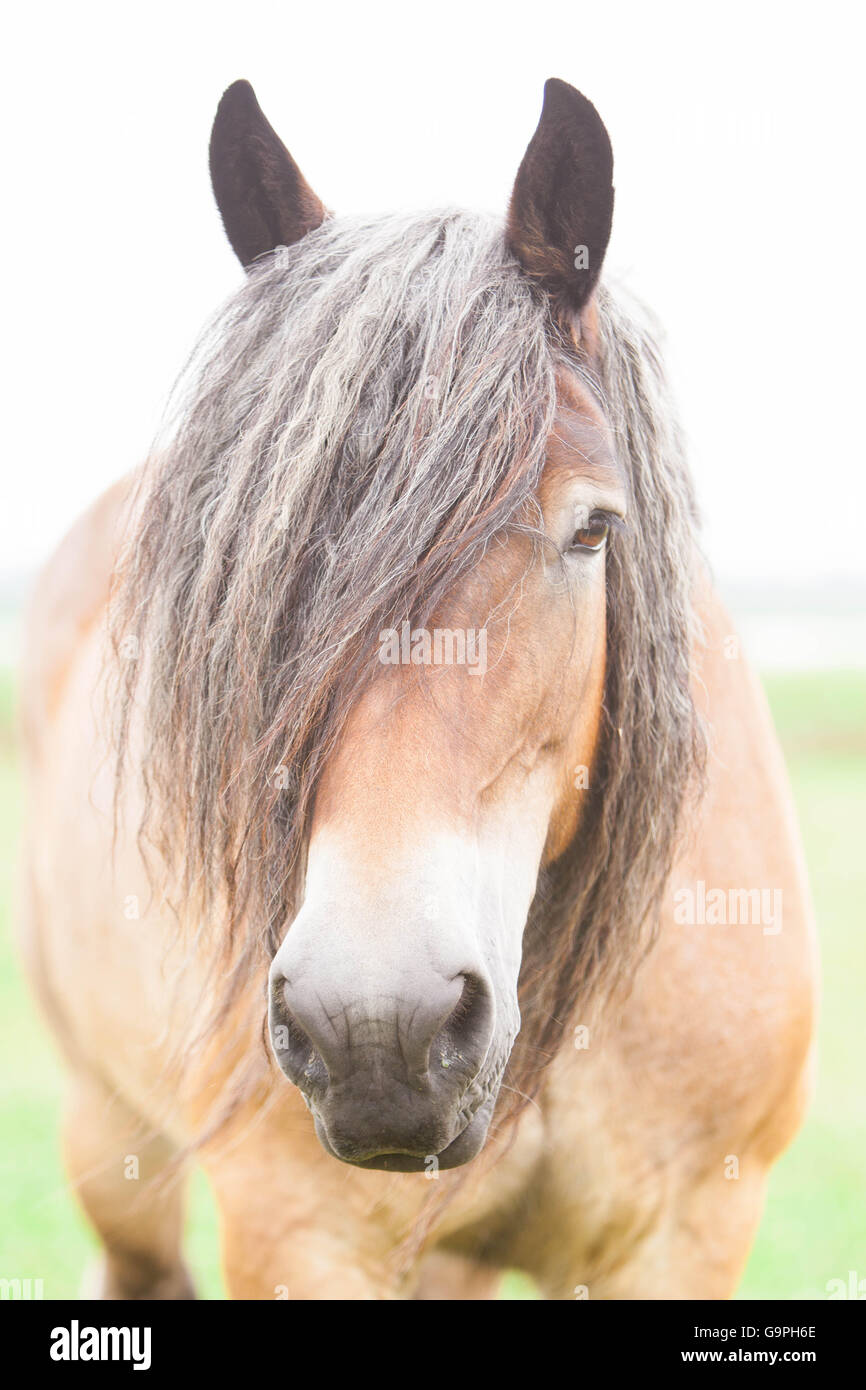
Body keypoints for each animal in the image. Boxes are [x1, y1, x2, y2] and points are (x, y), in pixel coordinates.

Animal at [18, 77, 818, 1300]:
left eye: (594, 529)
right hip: (111, 1147)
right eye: (252, 558)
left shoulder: (685, 1234)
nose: (373, 1026)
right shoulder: (301, 1237)